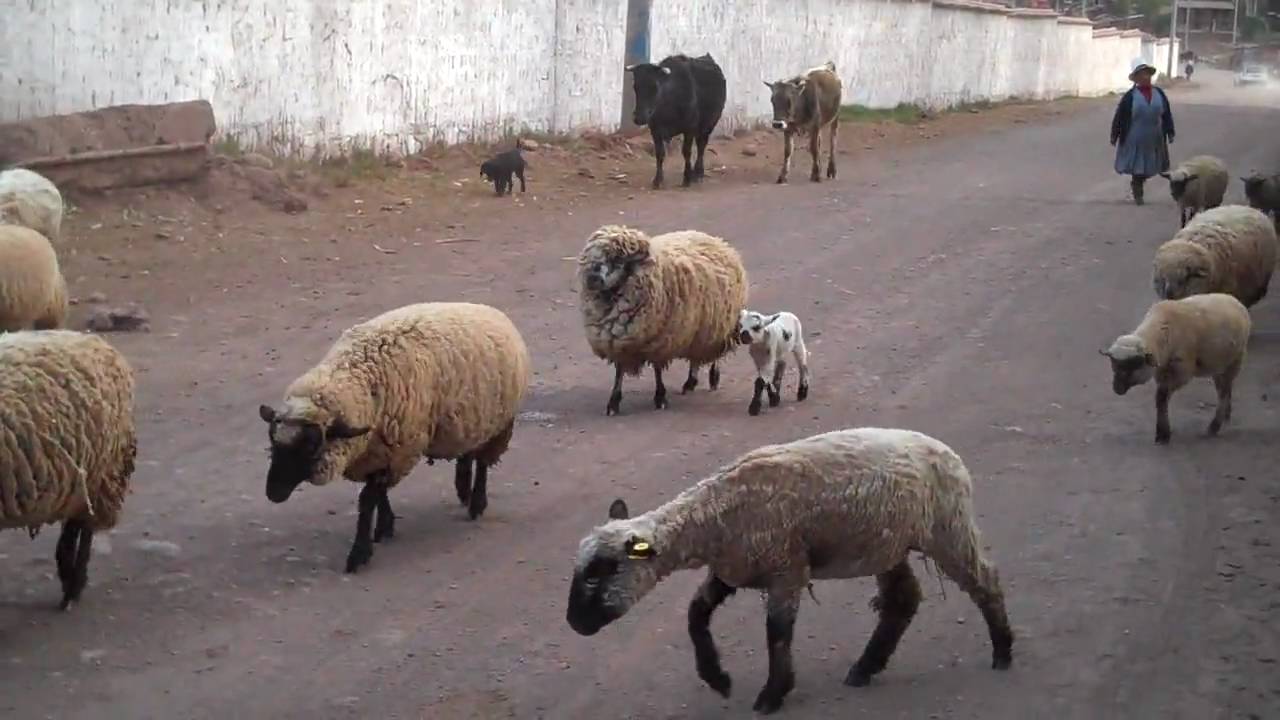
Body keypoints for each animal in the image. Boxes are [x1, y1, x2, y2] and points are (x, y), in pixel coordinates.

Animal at [0, 329, 138, 610]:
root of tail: (92, 340)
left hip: (98, 475)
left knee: (81, 529)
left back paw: (73, 586)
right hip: (78, 480)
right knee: (73, 528)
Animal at [258, 301, 531, 573]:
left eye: (311, 446)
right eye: (273, 442)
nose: (273, 493)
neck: (364, 381)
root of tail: (490, 310)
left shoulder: (397, 450)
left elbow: (367, 499)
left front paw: (360, 552)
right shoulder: (379, 451)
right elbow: (378, 495)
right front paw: (385, 526)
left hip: (498, 424)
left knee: (483, 462)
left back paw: (476, 503)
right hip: (468, 421)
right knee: (467, 453)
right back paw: (463, 488)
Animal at [566, 427, 1013, 715]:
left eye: (602, 569)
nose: (574, 623)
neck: (714, 518)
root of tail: (949, 454)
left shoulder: (786, 569)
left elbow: (777, 633)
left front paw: (772, 694)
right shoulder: (733, 568)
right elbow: (695, 614)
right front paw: (717, 678)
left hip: (947, 528)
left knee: (984, 582)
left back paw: (1003, 652)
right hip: (886, 544)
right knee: (902, 601)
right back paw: (865, 668)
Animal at [577, 224, 749, 416]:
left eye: (617, 259)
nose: (592, 278)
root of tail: (714, 239)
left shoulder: (659, 341)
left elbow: (658, 370)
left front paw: (660, 397)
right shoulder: (620, 344)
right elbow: (619, 372)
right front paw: (613, 402)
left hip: (718, 323)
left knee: (712, 354)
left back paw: (712, 377)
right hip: (698, 328)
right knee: (696, 358)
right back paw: (691, 382)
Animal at [1100, 293, 1250, 445]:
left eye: (1134, 364)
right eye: (1113, 364)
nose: (1117, 389)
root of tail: (1232, 298)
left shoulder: (1181, 371)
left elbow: (1161, 397)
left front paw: (1163, 434)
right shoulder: (1162, 370)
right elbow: (1162, 399)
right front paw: (1162, 431)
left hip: (1235, 359)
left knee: (1223, 393)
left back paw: (1214, 426)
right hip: (1219, 364)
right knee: (1225, 388)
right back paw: (1226, 415)